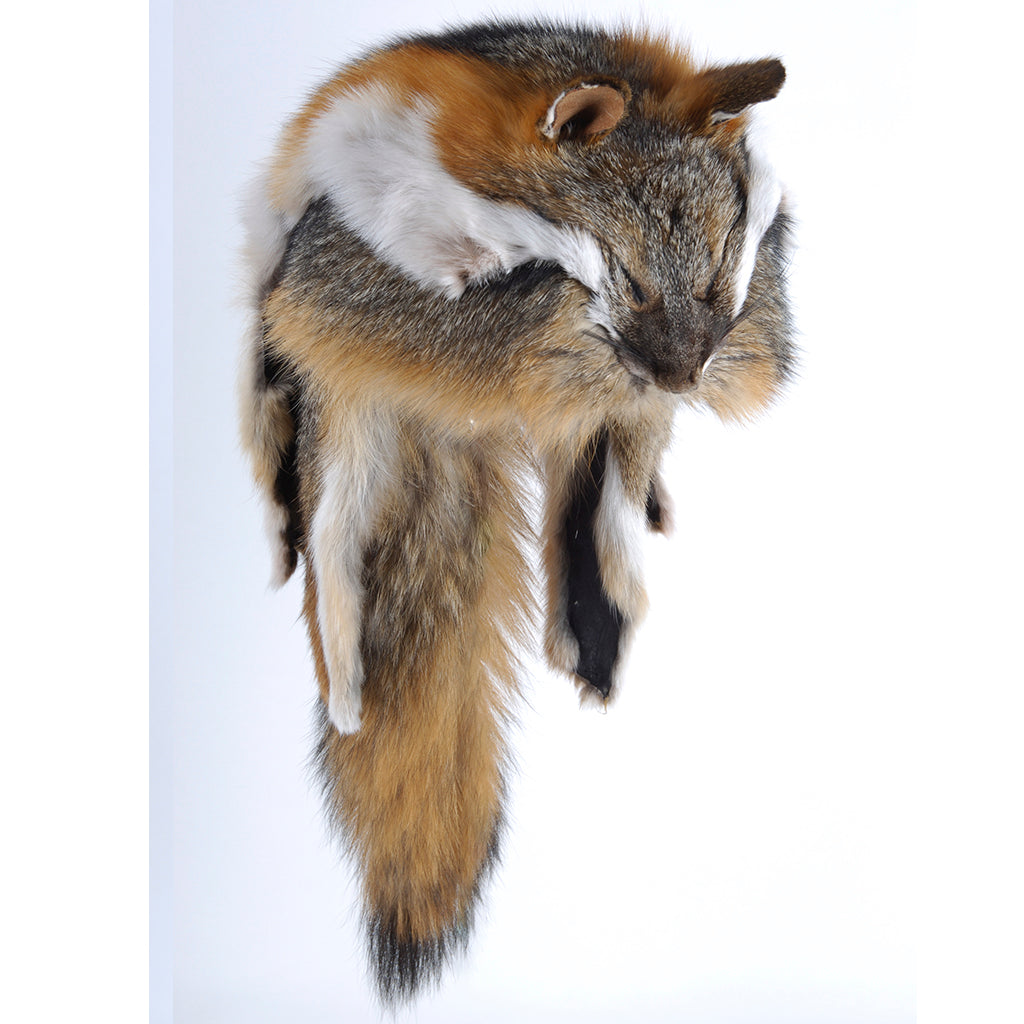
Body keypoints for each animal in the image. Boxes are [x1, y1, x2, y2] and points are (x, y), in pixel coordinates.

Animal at [239, 19, 795, 1005]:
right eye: (633, 282)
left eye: (709, 282)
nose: (684, 377)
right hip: (344, 448)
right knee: (328, 567)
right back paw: (340, 666)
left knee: (597, 534)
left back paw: (598, 619)